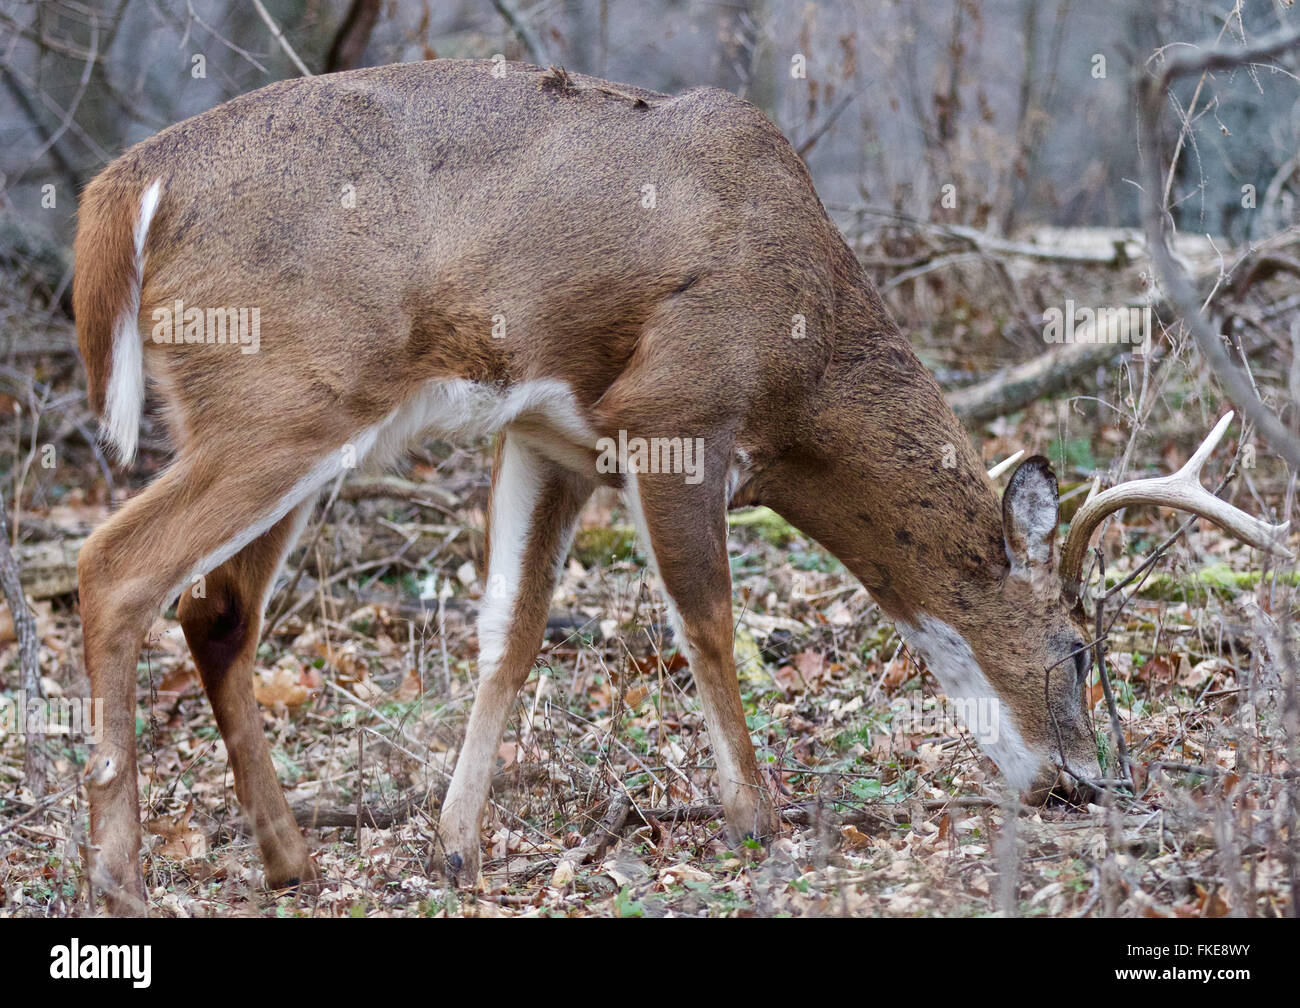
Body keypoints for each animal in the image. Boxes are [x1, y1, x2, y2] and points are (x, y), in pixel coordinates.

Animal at [70, 60, 1291, 914]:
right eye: (1078, 648)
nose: (1084, 783)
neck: (805, 366)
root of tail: (122, 189)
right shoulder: (674, 410)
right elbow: (706, 615)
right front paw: (758, 816)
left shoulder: (553, 436)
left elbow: (510, 632)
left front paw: (454, 844)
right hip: (282, 396)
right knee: (115, 566)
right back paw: (121, 876)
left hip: (284, 421)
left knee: (215, 608)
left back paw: (290, 860)